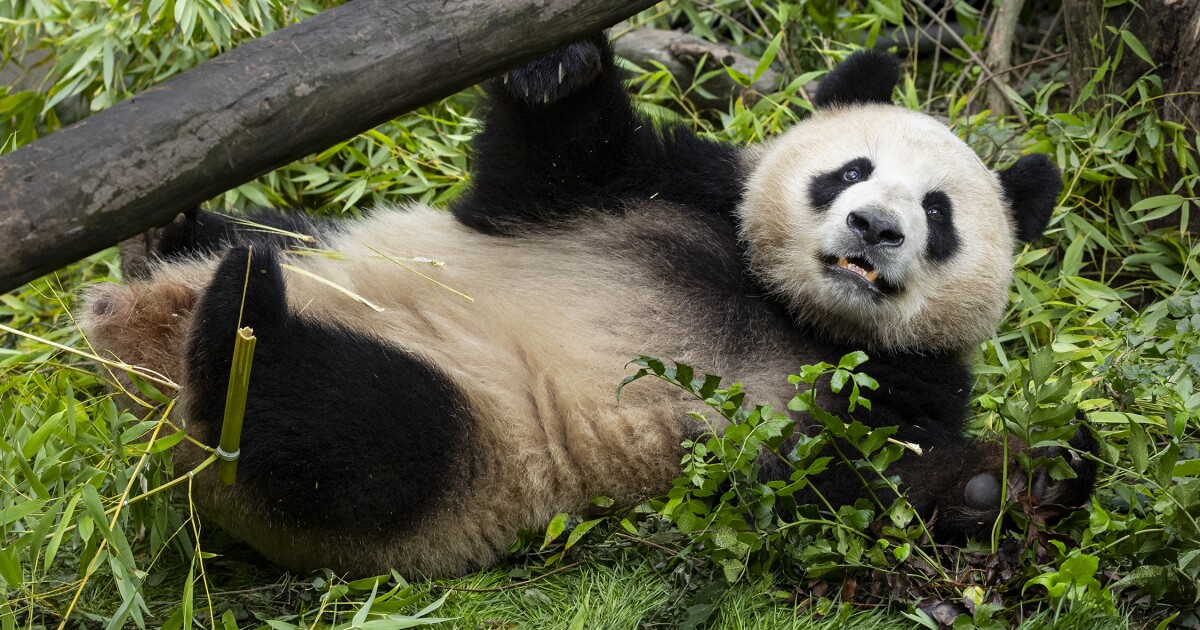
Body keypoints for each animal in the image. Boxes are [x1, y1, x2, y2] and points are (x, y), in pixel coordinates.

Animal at [81, 35, 1096, 578]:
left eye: (939, 214)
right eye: (850, 171)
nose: (877, 226)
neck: (786, 306)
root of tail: (141, 350)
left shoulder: (895, 383)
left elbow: (834, 489)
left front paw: (1013, 482)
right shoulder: (667, 190)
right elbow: (547, 166)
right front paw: (560, 65)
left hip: (472, 455)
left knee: (348, 431)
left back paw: (237, 330)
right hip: (324, 249)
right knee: (269, 250)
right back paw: (171, 239)